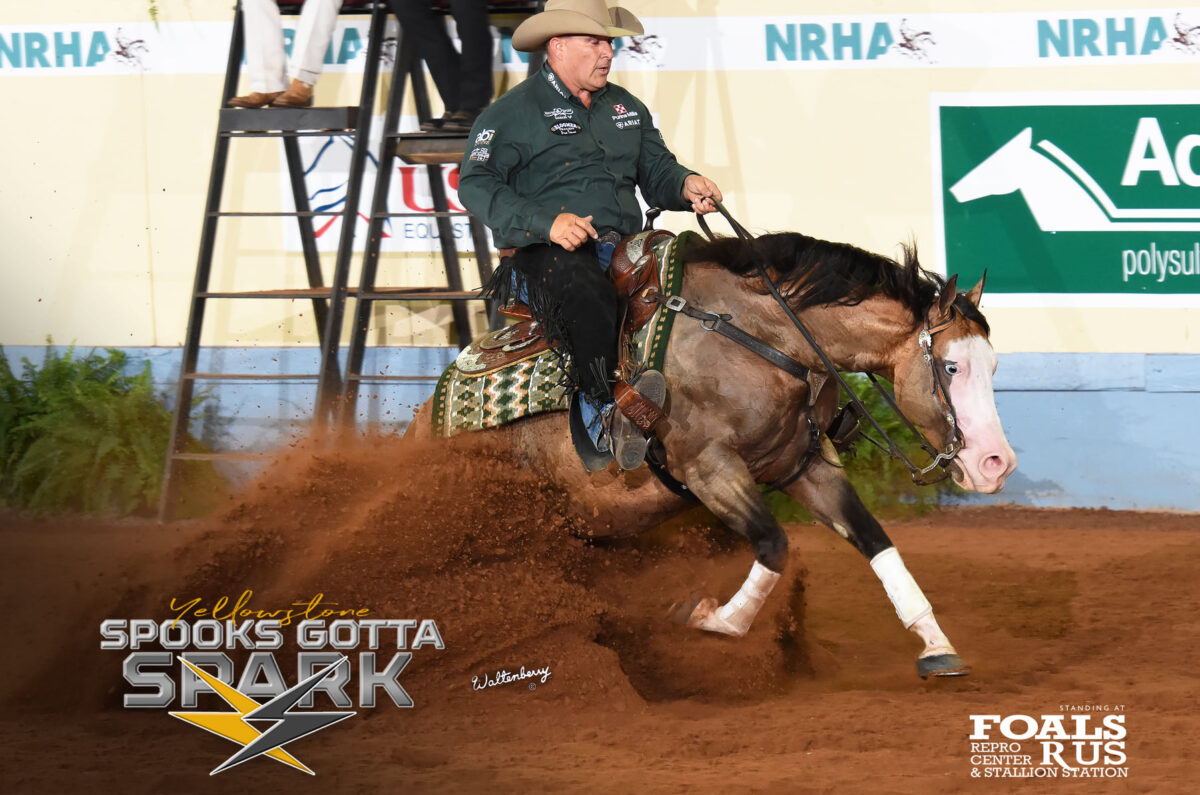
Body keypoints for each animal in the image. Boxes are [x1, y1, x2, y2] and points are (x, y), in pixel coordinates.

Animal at [407, 229, 1018, 678]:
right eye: (951, 366)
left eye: (992, 364)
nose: (997, 464)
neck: (761, 339)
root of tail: (425, 421)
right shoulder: (708, 468)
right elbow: (773, 544)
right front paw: (709, 619)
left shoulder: (805, 464)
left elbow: (875, 539)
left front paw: (935, 643)